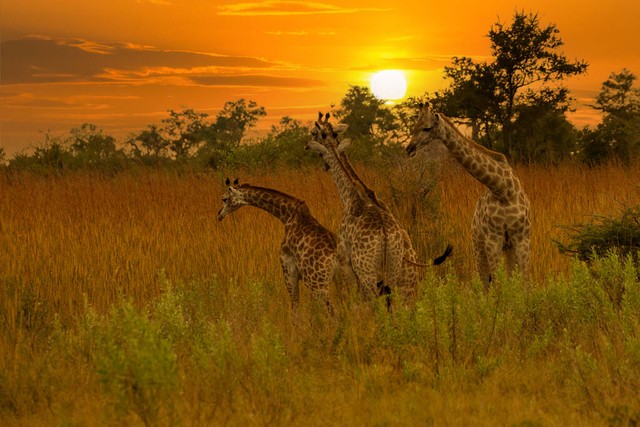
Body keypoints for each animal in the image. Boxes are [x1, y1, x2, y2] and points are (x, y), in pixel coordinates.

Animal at [217, 179, 338, 312]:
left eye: (224, 199)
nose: (219, 214)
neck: (287, 216)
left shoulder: (289, 272)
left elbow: (295, 307)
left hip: (316, 282)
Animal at [406, 103, 531, 286]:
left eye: (427, 128)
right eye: (414, 127)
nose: (409, 149)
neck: (503, 189)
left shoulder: (522, 239)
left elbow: (525, 283)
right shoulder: (492, 241)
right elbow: (498, 285)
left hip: (507, 248)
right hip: (478, 247)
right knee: (485, 282)